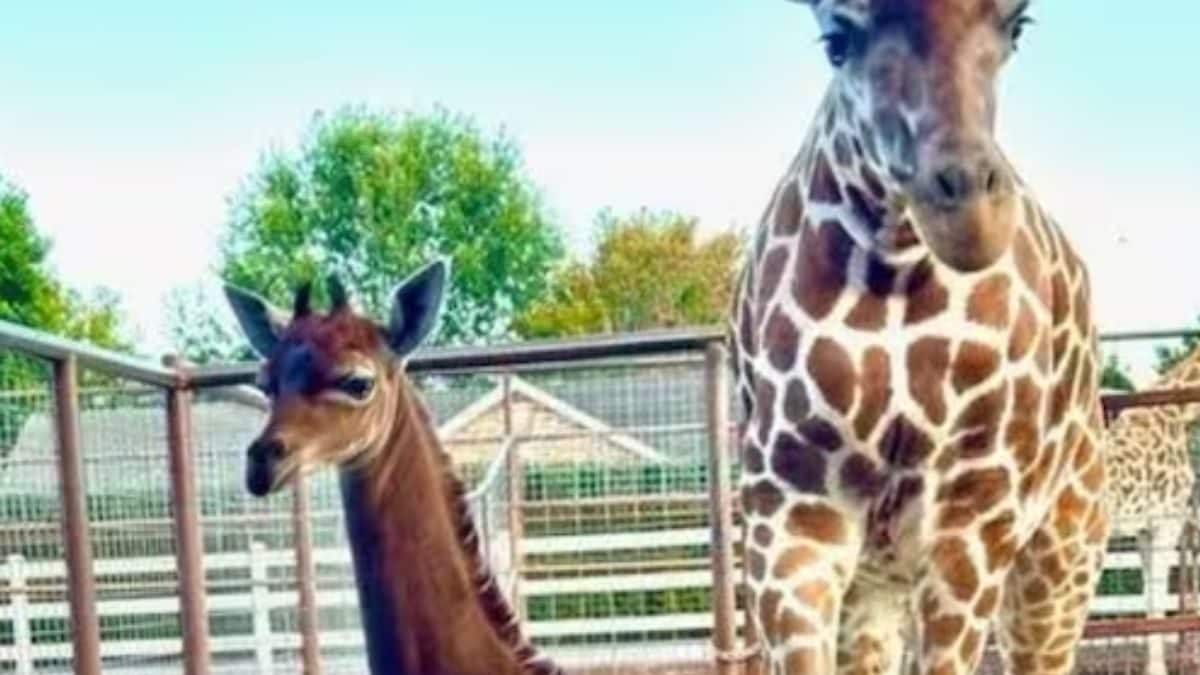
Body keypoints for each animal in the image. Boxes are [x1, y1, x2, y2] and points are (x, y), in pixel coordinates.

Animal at [728, 1, 1108, 673]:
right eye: (837, 38)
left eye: (1017, 25)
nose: (971, 217)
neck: (897, 272)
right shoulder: (792, 518)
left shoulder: (971, 523)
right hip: (878, 583)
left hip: (1060, 560)